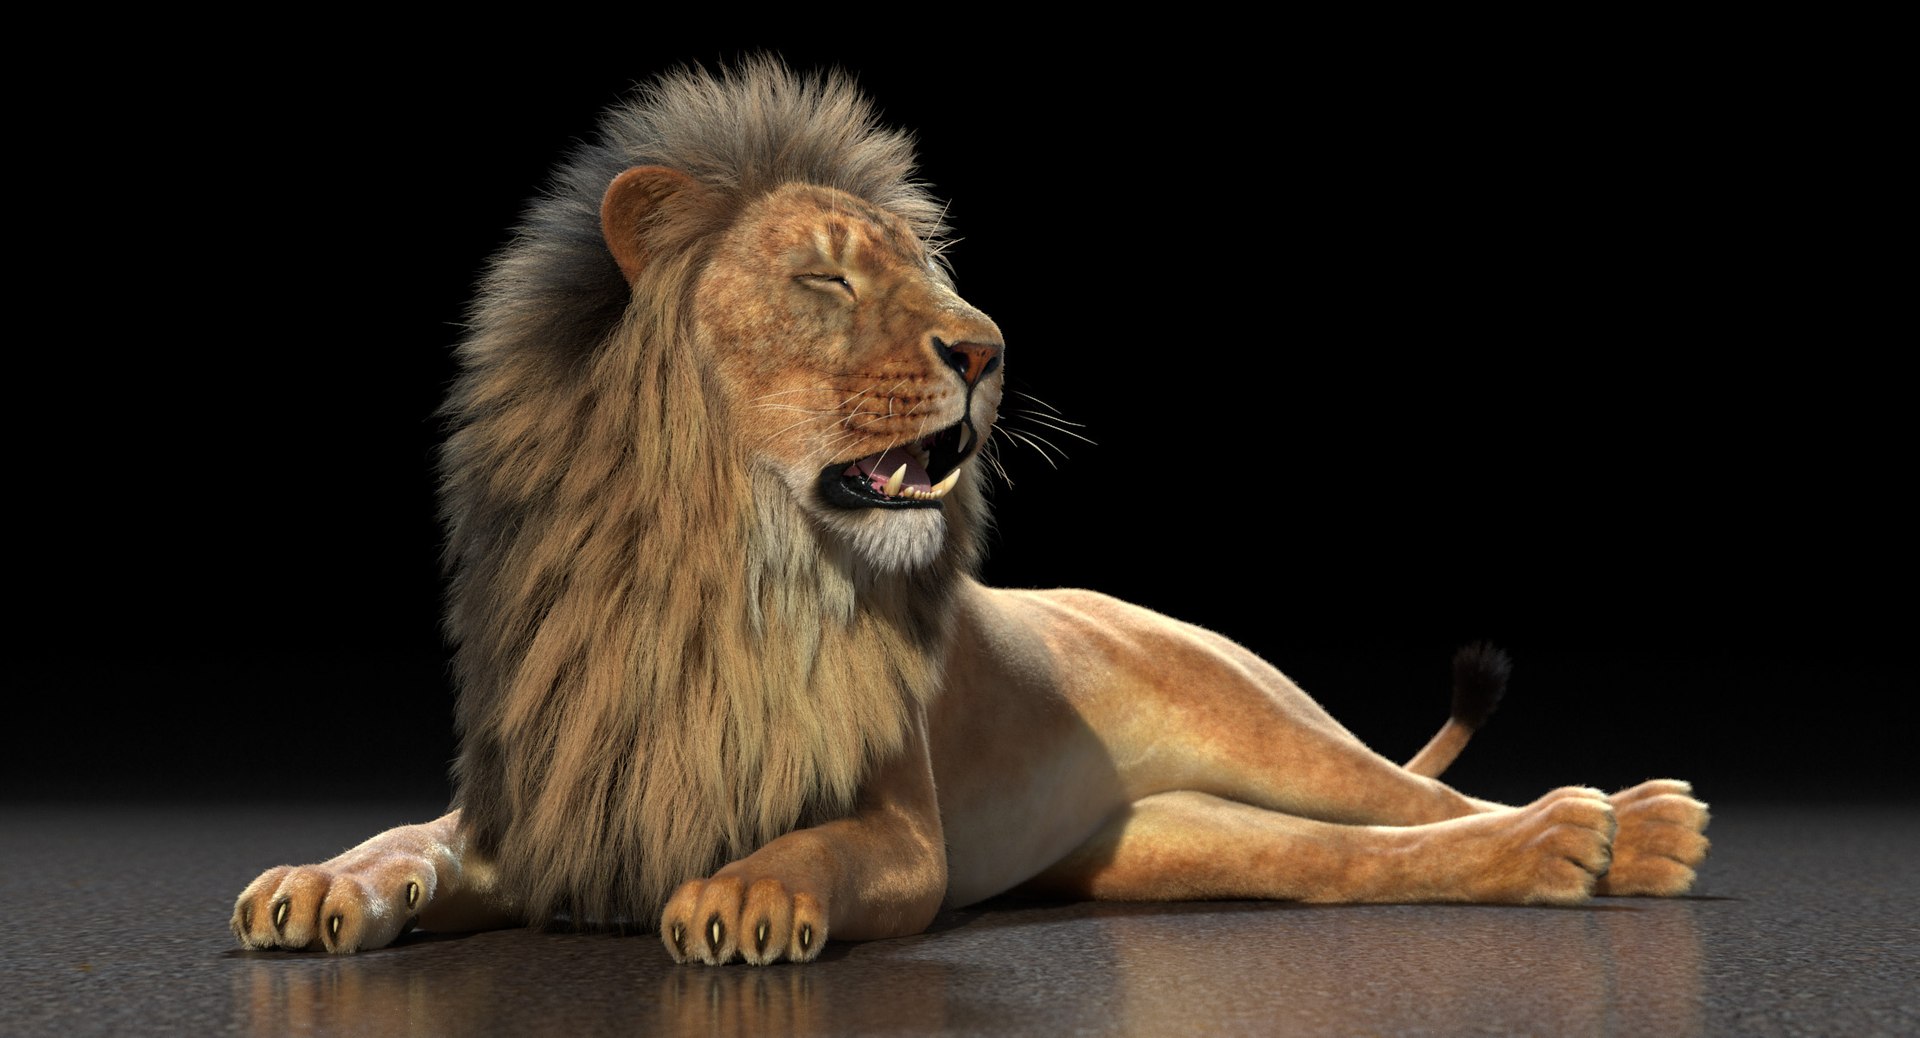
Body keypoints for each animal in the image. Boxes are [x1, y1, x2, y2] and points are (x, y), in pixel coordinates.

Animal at [231, 58, 1710, 965]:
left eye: (928, 272)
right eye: (827, 279)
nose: (989, 348)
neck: (721, 579)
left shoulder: (905, 839)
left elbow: (820, 841)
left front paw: (747, 889)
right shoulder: (550, 809)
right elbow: (409, 839)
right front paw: (318, 885)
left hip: (1262, 721)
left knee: (1413, 795)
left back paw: (1621, 828)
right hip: (1169, 840)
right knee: (1353, 856)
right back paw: (1571, 847)